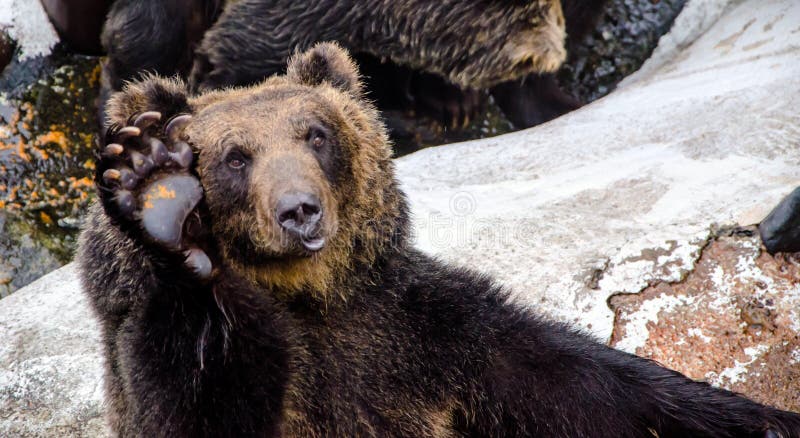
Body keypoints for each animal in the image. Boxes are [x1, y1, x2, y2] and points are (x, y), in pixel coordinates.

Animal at [77, 43, 800, 437]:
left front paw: (761, 419)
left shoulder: (431, 337)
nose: (300, 212)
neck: (308, 301)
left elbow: (600, 388)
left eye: (316, 133)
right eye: (234, 156)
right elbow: (196, 393)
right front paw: (156, 185)